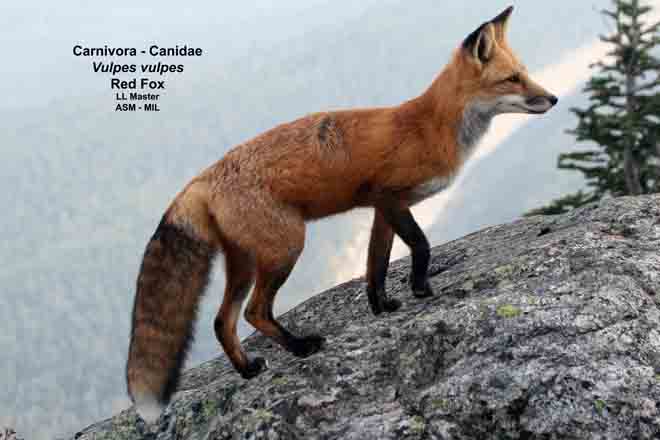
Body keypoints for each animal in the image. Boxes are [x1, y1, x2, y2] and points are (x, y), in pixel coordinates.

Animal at [126, 6, 557, 423]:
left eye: (525, 73)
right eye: (512, 79)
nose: (553, 98)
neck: (431, 126)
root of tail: (201, 179)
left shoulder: (381, 211)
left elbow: (375, 266)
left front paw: (382, 306)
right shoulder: (389, 198)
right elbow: (421, 246)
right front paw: (420, 288)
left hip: (245, 262)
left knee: (221, 322)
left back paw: (247, 369)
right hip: (286, 247)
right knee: (253, 312)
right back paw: (301, 347)